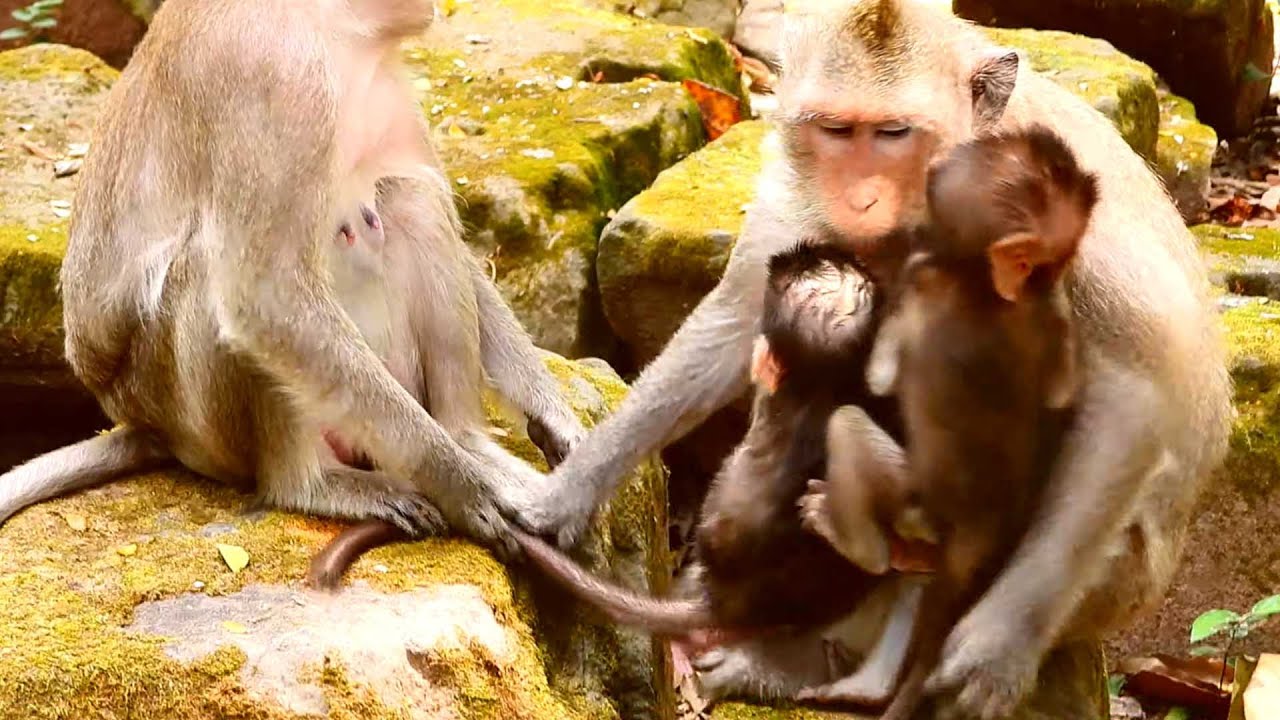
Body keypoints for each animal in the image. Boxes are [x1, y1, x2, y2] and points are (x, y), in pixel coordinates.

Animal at [0, 0, 588, 559]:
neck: (332, 25)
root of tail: (146, 425)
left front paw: (551, 419)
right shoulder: (276, 79)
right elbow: (268, 300)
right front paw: (466, 490)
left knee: (409, 196)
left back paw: (467, 437)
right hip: (191, 414)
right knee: (213, 274)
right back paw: (310, 484)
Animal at [794, 126, 1098, 717]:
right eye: (1064, 255)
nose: (1063, 268)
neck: (978, 280)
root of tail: (976, 532)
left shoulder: (921, 281)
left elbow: (880, 380)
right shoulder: (1040, 316)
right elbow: (1062, 387)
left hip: (915, 502)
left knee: (848, 426)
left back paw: (853, 540)